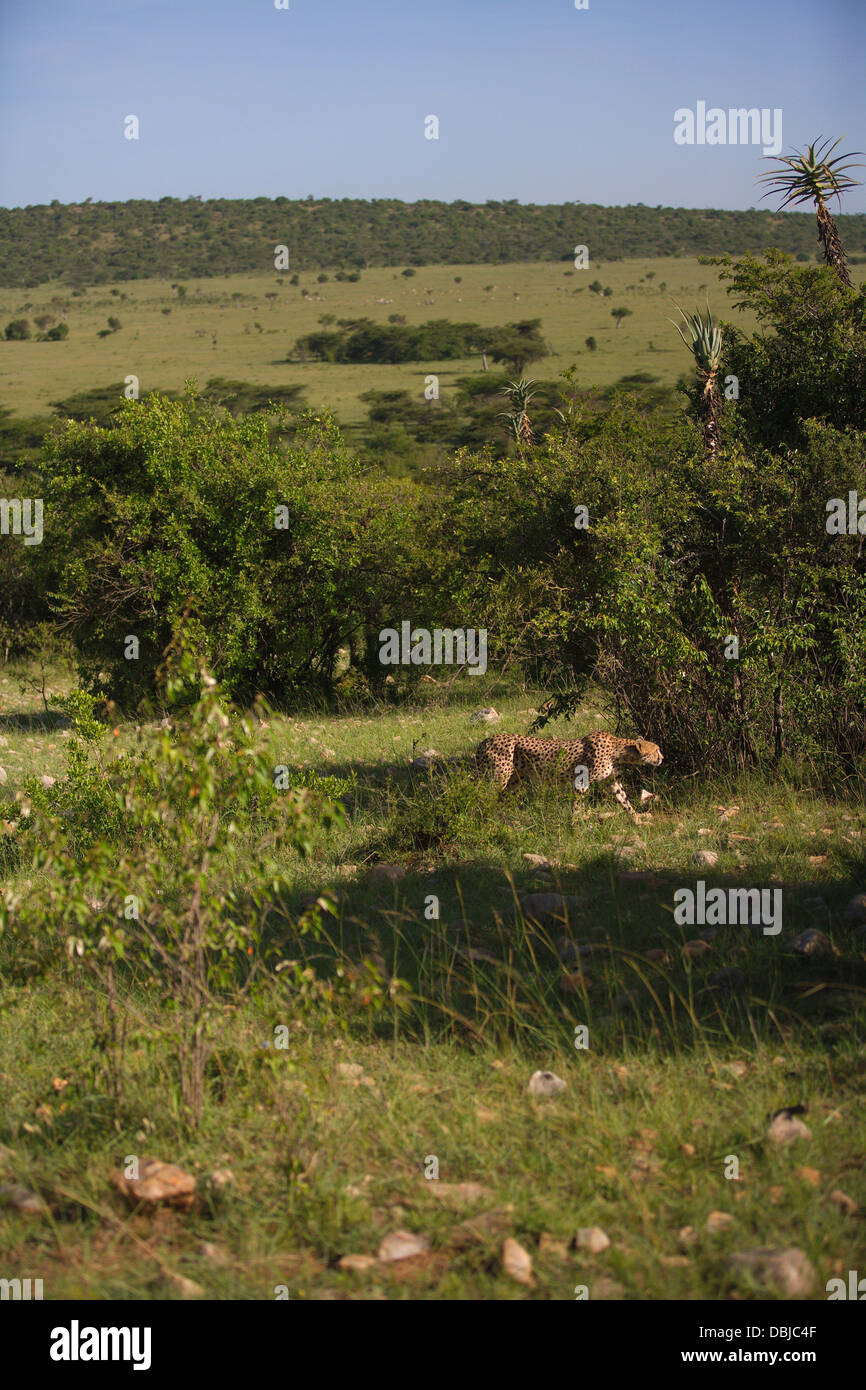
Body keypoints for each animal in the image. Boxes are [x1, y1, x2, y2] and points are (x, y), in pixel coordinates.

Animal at [475, 731, 663, 824]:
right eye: (656, 750)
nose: (662, 758)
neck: (618, 750)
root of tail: (485, 740)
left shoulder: (612, 781)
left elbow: (625, 801)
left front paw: (637, 820)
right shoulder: (581, 779)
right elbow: (577, 804)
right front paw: (577, 822)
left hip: (514, 780)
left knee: (499, 798)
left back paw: (497, 817)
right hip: (498, 776)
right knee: (483, 795)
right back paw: (481, 816)